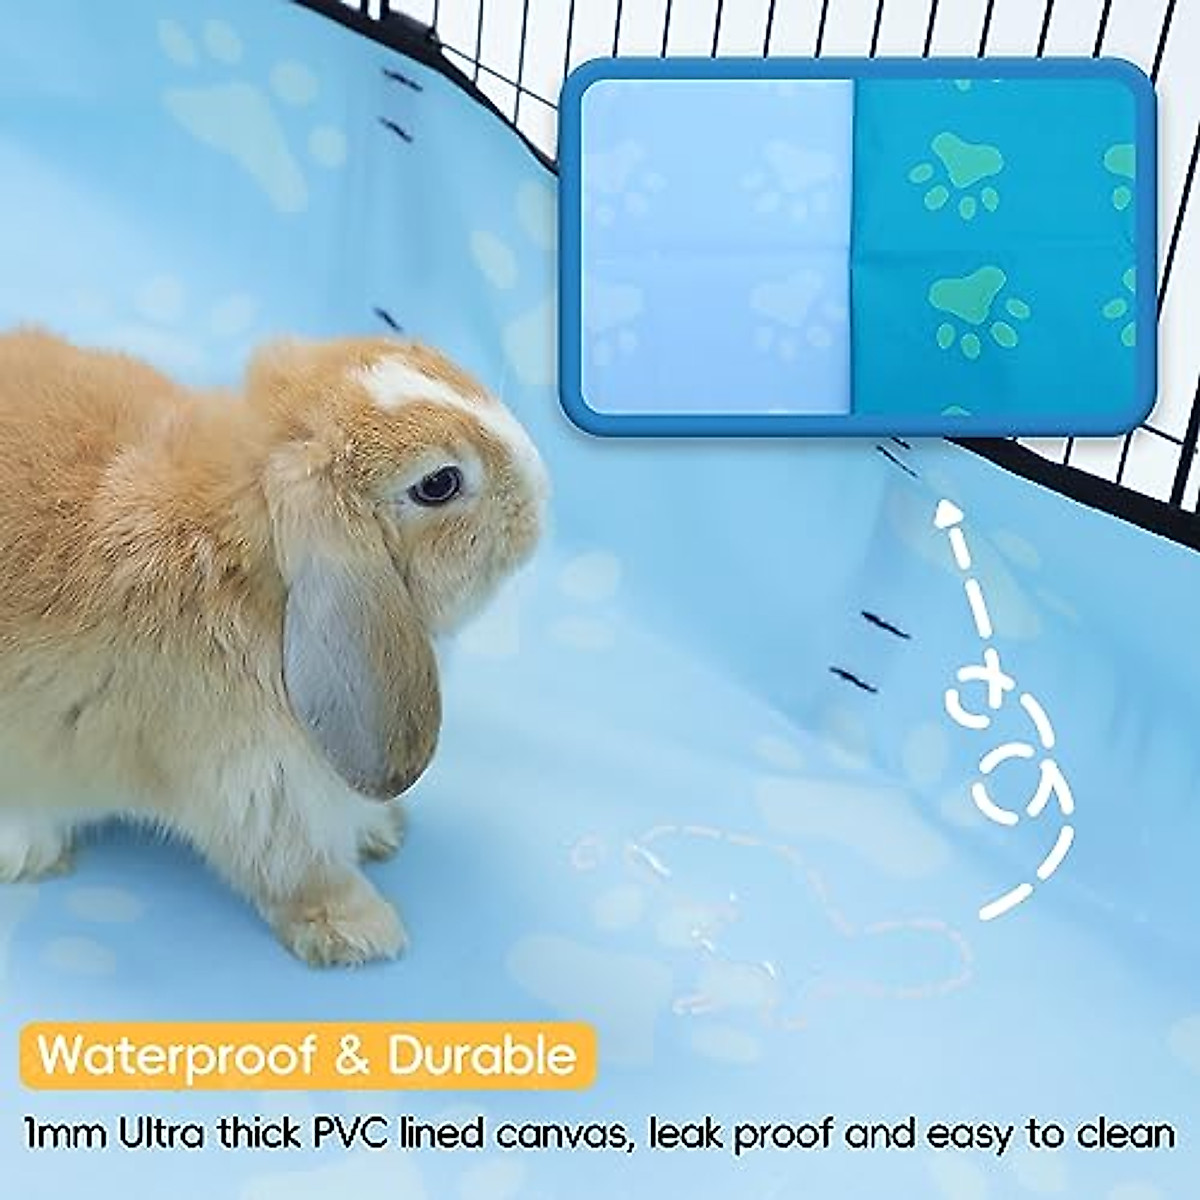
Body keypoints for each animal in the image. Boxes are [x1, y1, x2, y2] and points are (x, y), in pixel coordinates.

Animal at [0, 328, 548, 966]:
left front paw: (380, 830)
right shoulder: (262, 787)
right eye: (439, 484)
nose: (542, 486)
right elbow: (302, 870)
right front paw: (362, 933)